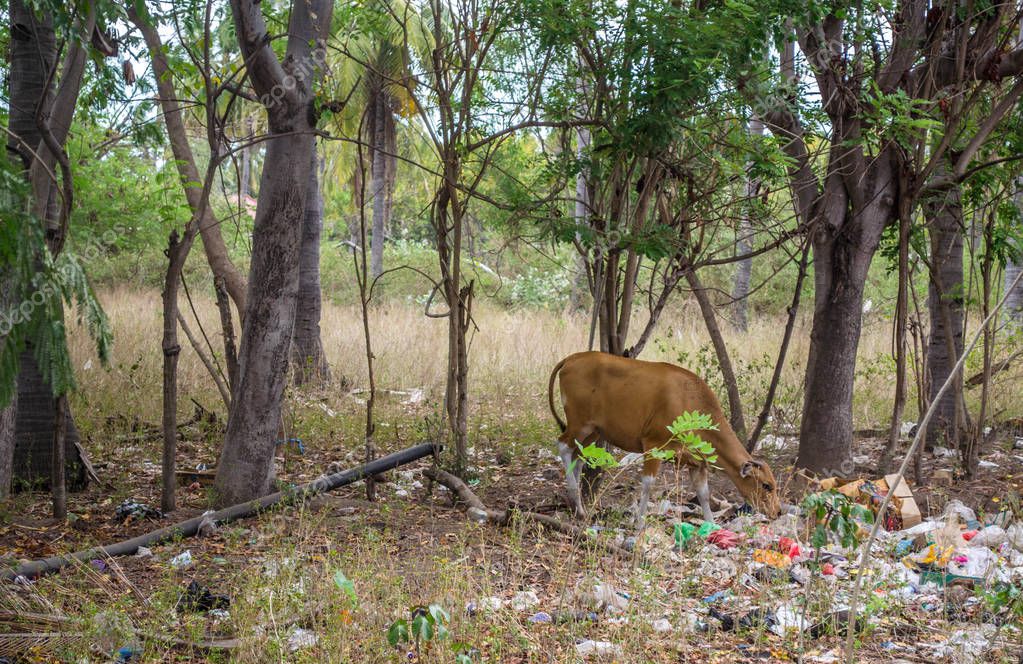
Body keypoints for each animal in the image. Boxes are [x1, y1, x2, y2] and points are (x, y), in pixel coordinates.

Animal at [547, 351, 781, 527]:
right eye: (767, 485)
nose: (777, 511)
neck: (691, 403)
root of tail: (571, 358)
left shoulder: (697, 463)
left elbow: (704, 494)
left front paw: (712, 526)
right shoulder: (653, 445)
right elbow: (648, 484)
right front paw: (640, 523)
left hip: (594, 430)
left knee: (578, 456)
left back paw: (579, 508)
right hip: (579, 422)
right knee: (563, 446)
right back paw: (576, 500)